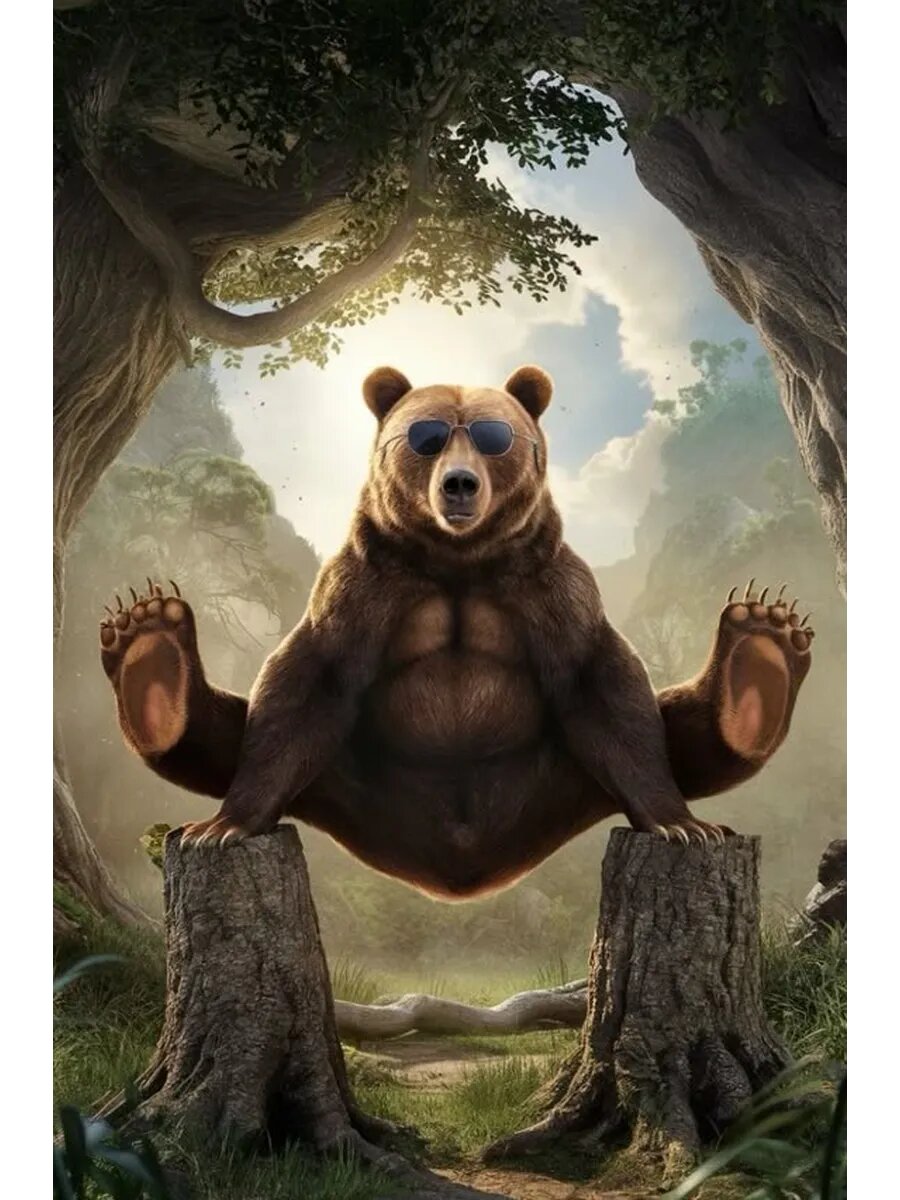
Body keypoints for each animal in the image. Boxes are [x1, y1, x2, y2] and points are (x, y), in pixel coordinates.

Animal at [99, 365, 814, 899]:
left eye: (496, 436)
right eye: (426, 437)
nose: (461, 483)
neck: (458, 563)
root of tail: (459, 866)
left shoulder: (550, 589)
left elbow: (609, 690)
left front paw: (679, 825)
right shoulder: (364, 587)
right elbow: (301, 688)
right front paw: (224, 826)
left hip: (562, 776)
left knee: (682, 737)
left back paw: (760, 656)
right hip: (344, 776)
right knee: (230, 735)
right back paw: (150, 652)